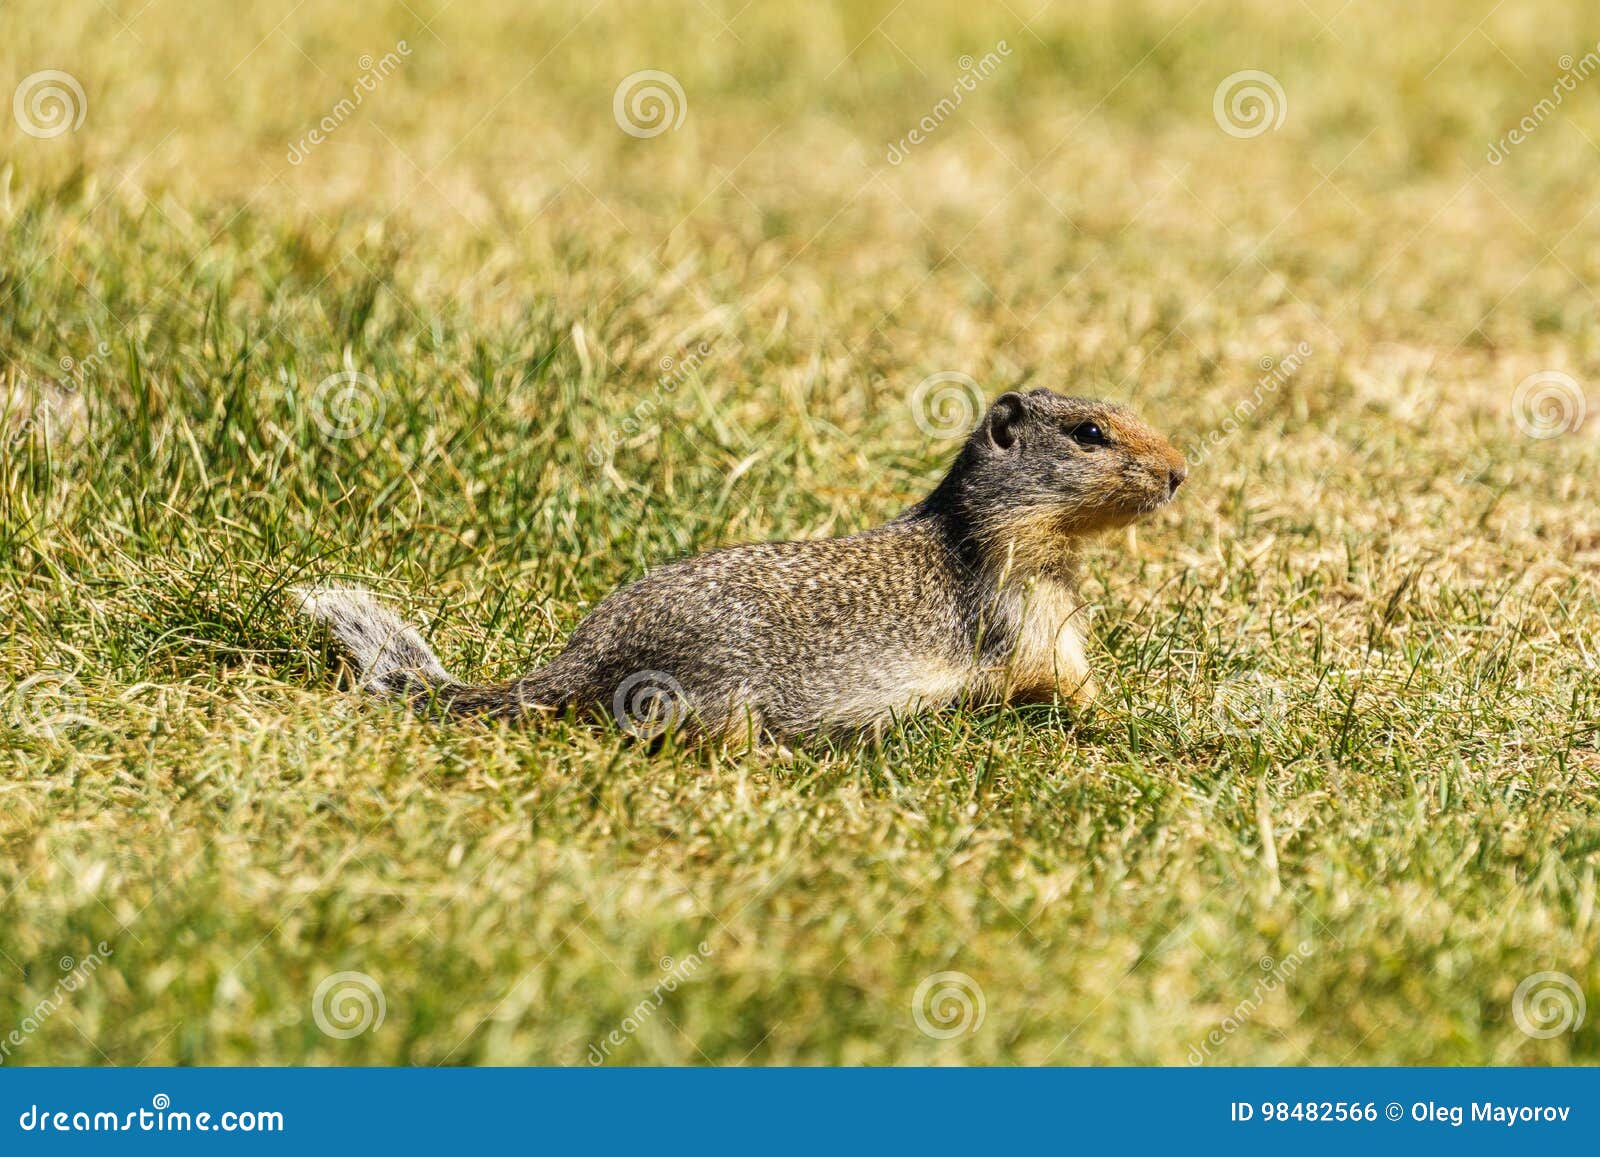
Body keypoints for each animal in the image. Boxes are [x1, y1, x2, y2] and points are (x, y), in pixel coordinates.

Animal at [296, 388, 1187, 741]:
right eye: (1090, 433)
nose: (1181, 470)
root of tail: (581, 656)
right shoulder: (1022, 607)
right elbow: (1062, 678)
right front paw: (1136, 716)